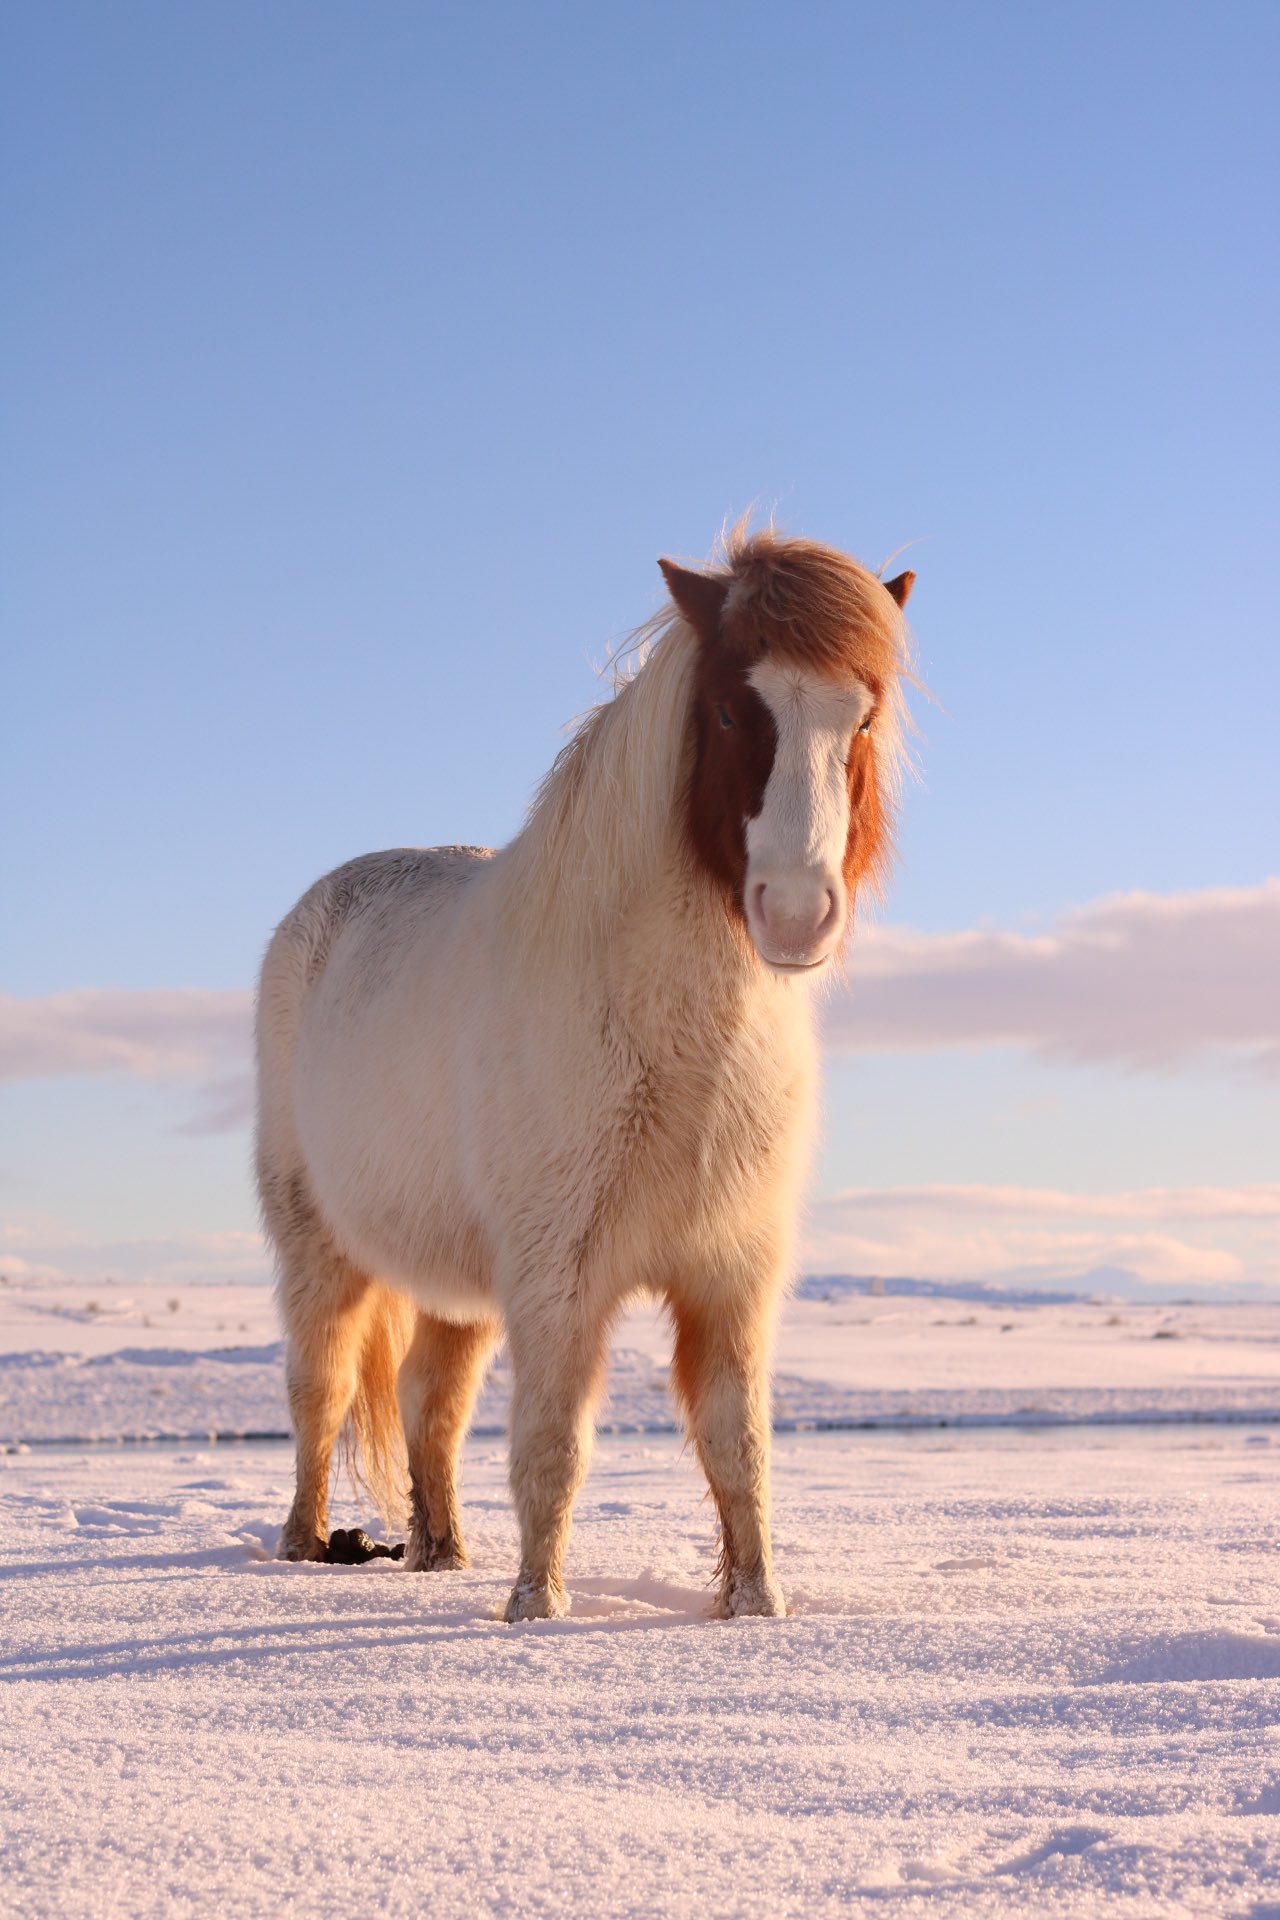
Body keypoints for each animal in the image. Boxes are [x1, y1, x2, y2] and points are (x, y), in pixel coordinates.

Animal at [255, 526, 915, 1621]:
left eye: (860, 715)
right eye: (730, 709)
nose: (793, 912)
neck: (680, 1041)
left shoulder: (732, 1274)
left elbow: (738, 1446)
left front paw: (755, 1606)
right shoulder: (557, 1279)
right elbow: (554, 1446)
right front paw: (538, 1611)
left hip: (454, 1286)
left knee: (430, 1403)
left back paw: (441, 1553)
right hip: (318, 1248)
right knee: (323, 1389)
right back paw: (302, 1547)